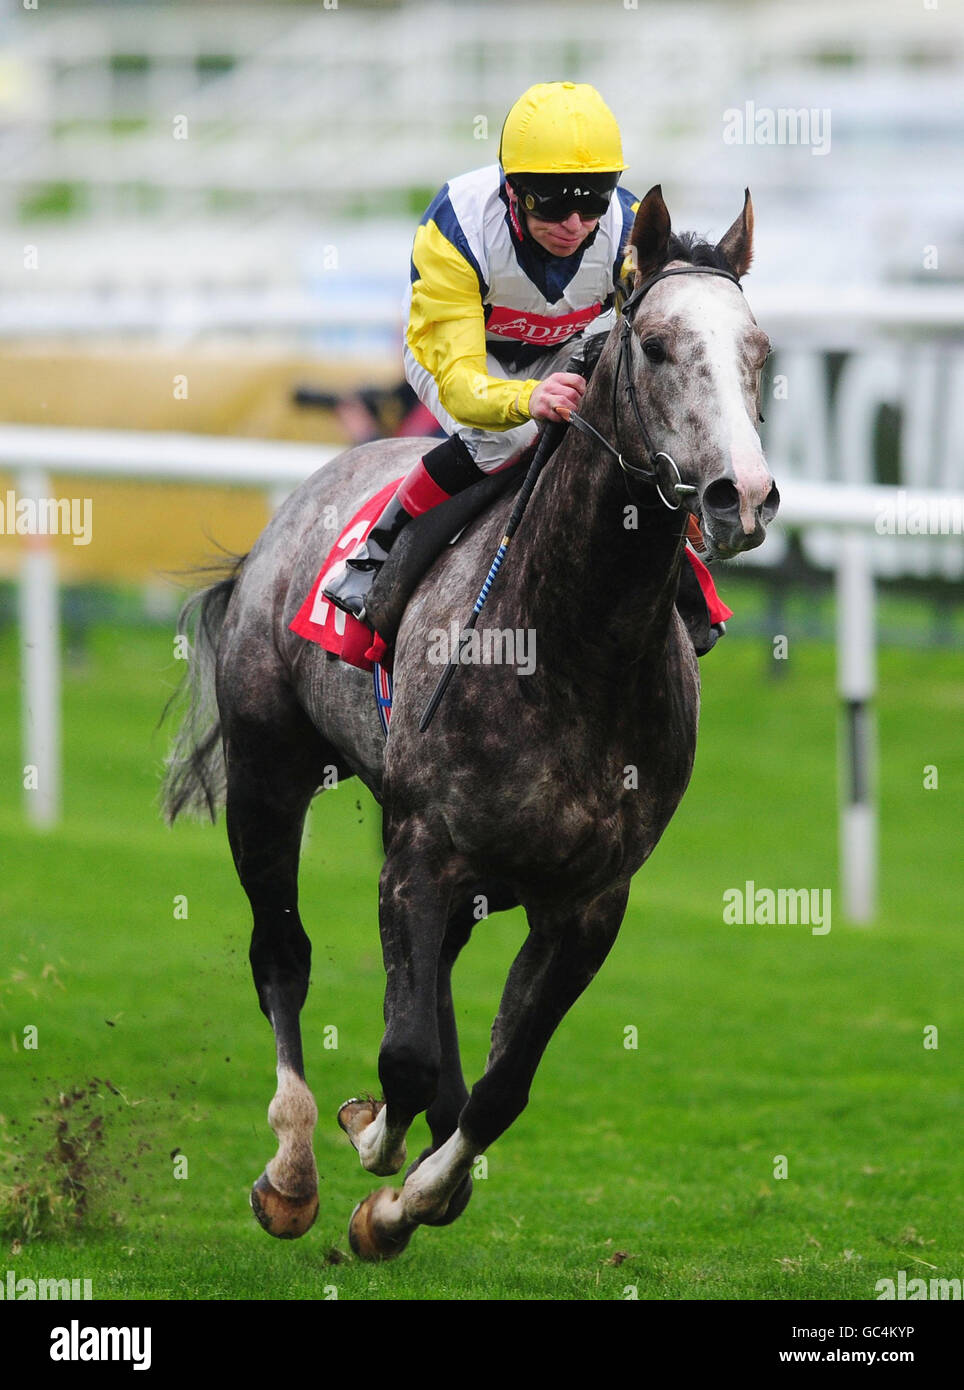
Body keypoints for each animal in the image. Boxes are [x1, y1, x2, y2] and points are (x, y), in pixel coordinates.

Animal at [161, 185, 778, 1260]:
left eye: (760, 350)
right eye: (658, 345)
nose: (739, 496)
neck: (576, 645)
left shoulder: (589, 899)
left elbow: (501, 1085)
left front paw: (410, 1196)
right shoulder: (422, 848)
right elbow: (403, 1052)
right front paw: (371, 1155)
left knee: (435, 980)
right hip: (271, 771)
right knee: (282, 954)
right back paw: (292, 1166)